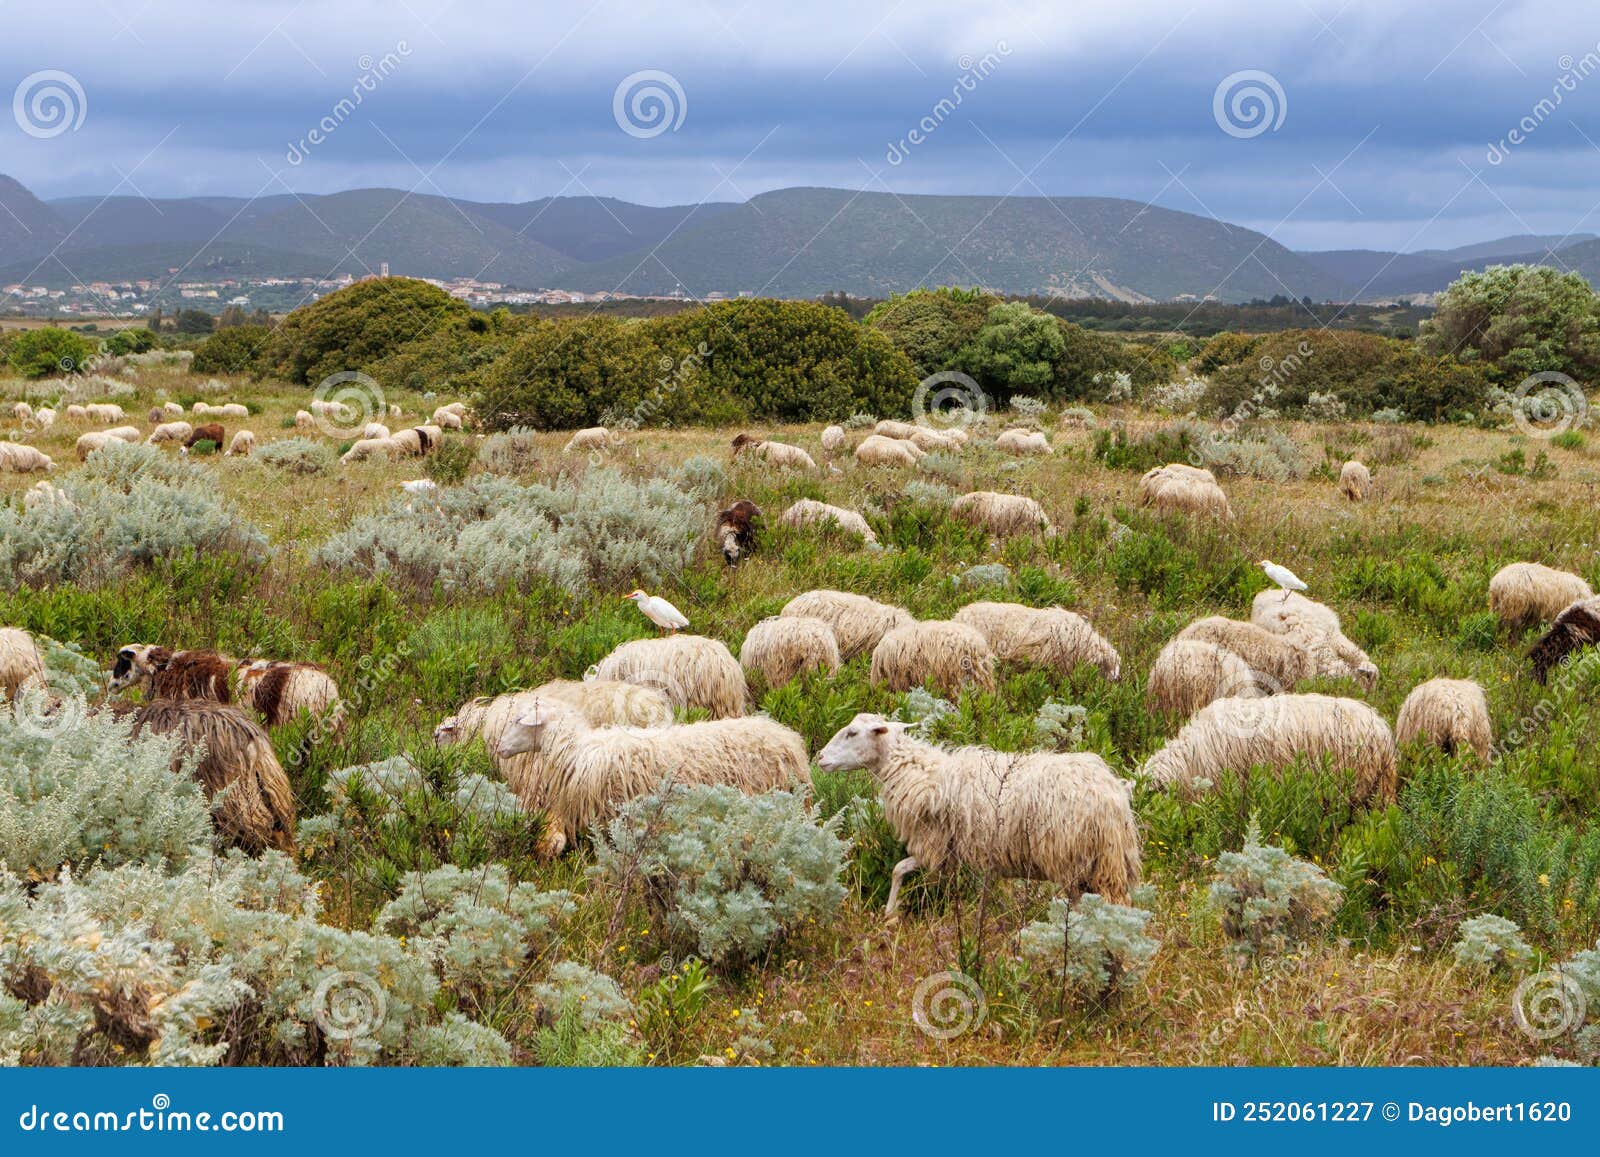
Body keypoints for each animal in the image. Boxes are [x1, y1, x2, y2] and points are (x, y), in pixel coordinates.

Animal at [816, 713, 1141, 915]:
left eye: (852, 733)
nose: (819, 757)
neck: (918, 771)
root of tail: (1112, 795)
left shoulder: (933, 844)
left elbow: (898, 869)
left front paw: (890, 912)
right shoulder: (949, 850)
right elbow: (902, 868)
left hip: (1074, 858)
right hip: (1105, 863)